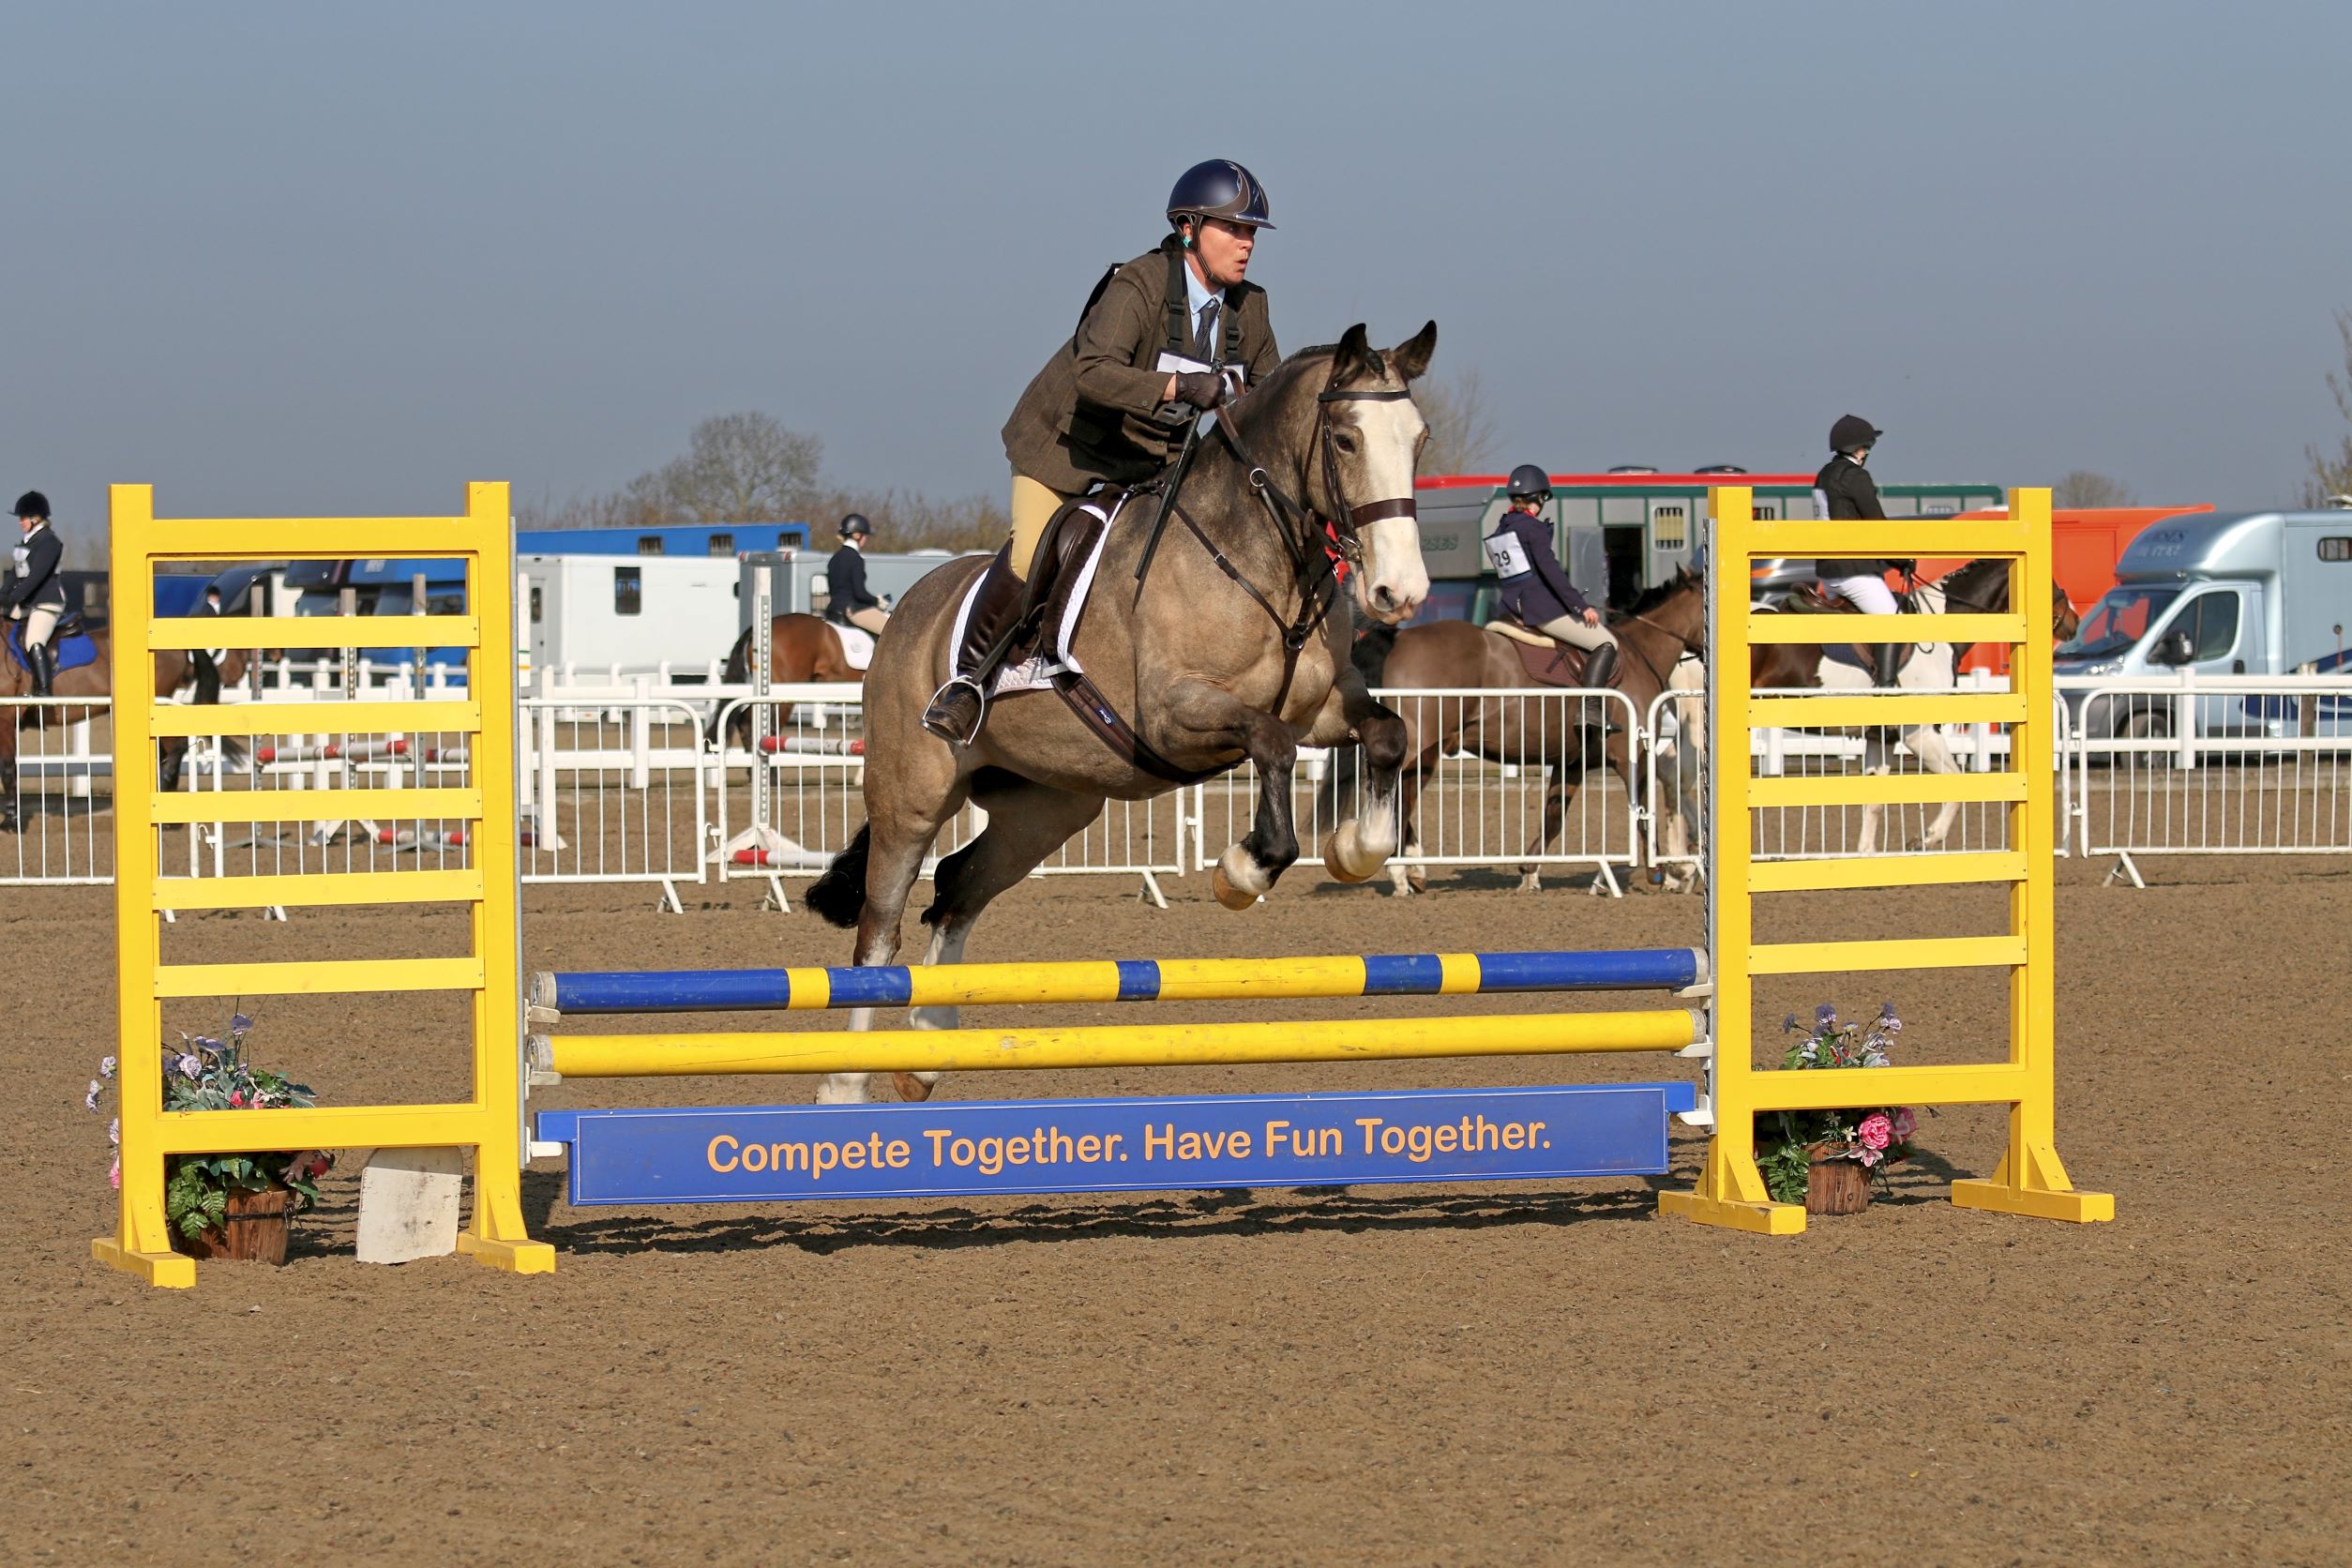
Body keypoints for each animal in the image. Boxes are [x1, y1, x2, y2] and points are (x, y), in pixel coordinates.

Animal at [802, 322, 1439, 1104]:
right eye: (1347, 440)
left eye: (1419, 439)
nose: (1400, 594)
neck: (1257, 560)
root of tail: (904, 617)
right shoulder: (1173, 715)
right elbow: (1272, 745)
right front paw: (1242, 871)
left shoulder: (1324, 708)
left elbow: (1387, 733)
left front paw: (1356, 849)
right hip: (912, 796)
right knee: (880, 929)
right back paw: (845, 1081)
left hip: (1047, 808)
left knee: (956, 890)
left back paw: (925, 1053)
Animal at [1345, 568, 1708, 896]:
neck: (1640, 654)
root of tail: (1401, 637)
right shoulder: (1632, 756)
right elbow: (1643, 813)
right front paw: (1666, 874)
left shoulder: (1572, 762)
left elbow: (1554, 817)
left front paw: (1530, 873)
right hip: (1419, 747)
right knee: (1396, 802)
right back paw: (1400, 874)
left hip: (1427, 753)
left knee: (1402, 800)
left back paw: (1415, 871)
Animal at [1749, 559, 2081, 854]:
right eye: (2049, 581)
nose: (2074, 622)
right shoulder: (1920, 733)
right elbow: (1958, 782)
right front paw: (1927, 838)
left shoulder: (1882, 736)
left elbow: (1874, 801)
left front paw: (1866, 855)